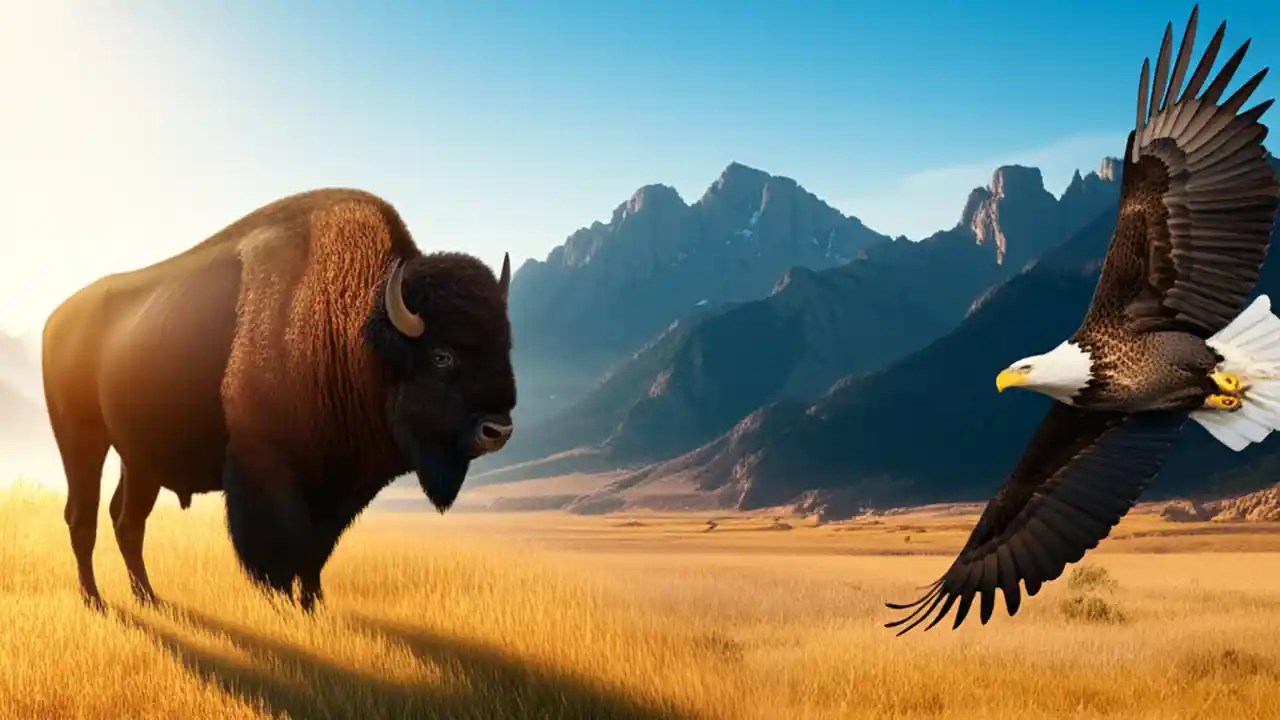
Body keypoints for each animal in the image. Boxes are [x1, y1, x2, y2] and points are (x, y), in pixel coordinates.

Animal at [41, 188, 516, 610]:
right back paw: (96, 600)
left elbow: (316, 550)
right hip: (82, 441)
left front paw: (313, 604)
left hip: (139, 458)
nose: (498, 429)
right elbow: (280, 548)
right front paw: (284, 604)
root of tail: (55, 320)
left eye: (505, 346)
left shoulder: (342, 486)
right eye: (442, 355)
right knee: (82, 517)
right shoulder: (267, 469)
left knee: (127, 521)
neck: (358, 328)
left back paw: (148, 597)